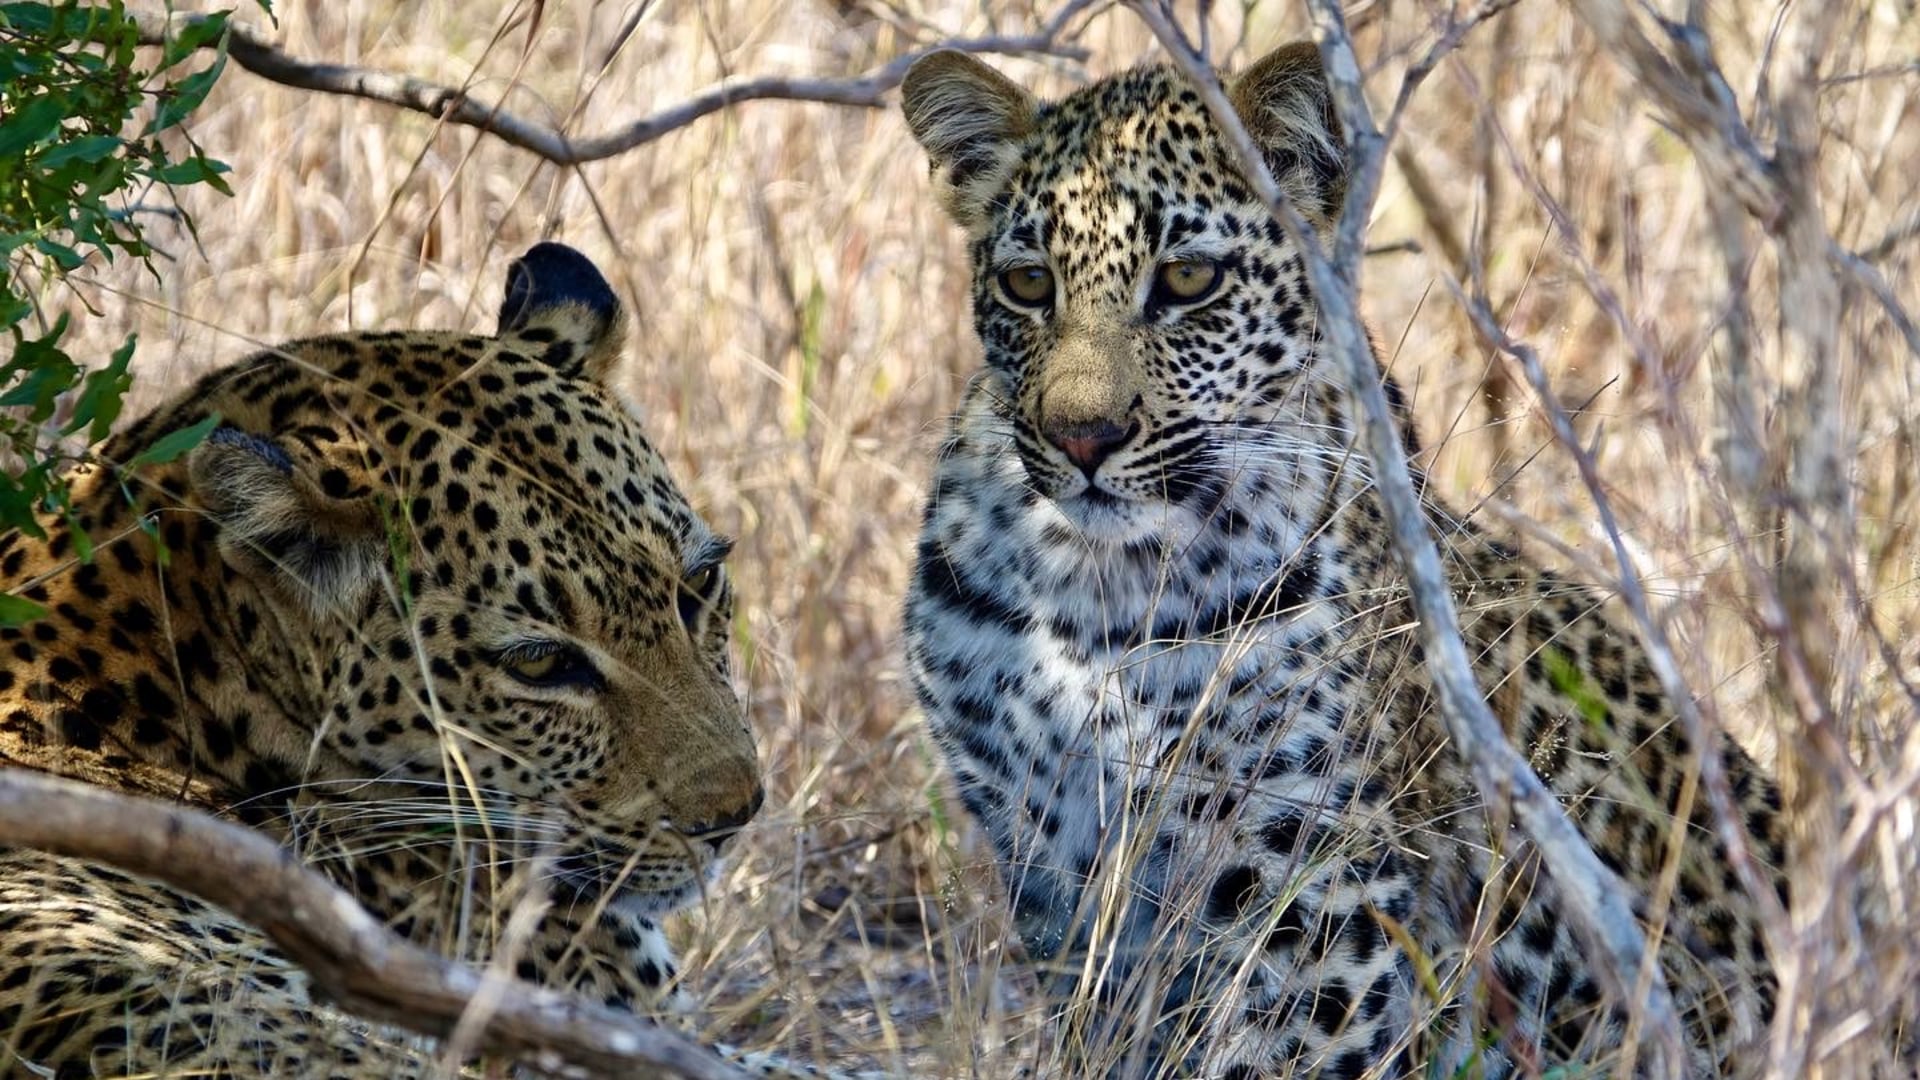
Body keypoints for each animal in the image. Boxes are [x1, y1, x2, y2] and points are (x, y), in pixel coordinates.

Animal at [900, 42, 1786, 1078]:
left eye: (1189, 279)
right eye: (1029, 286)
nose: (1083, 438)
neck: (1091, 592)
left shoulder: (1311, 892)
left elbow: (1270, 1052)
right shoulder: (1046, 870)